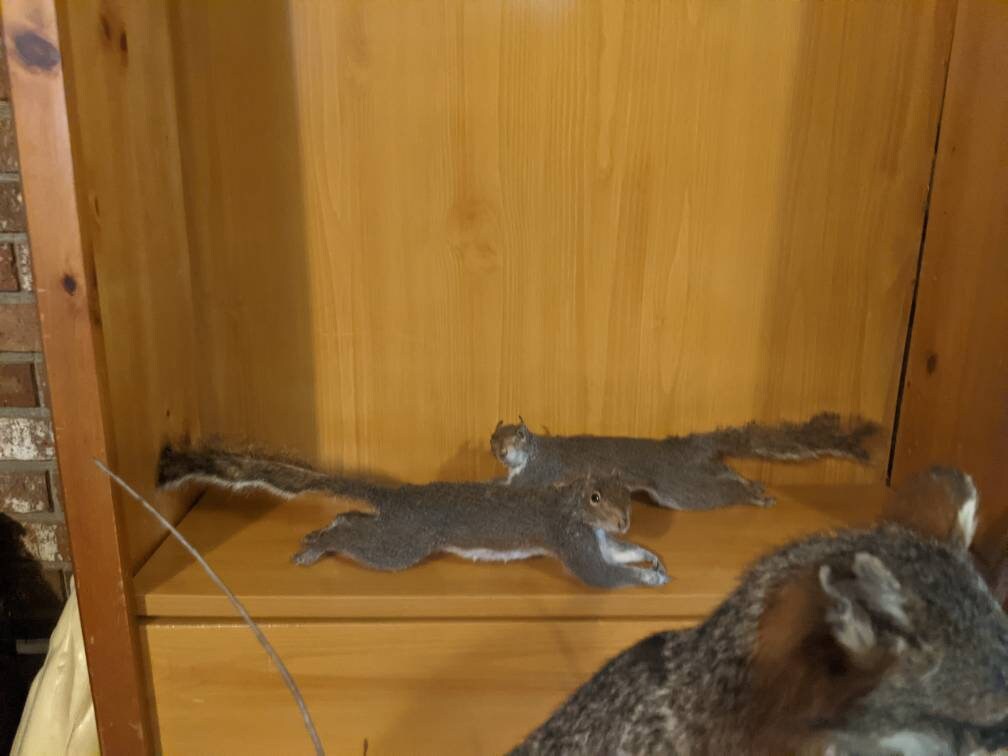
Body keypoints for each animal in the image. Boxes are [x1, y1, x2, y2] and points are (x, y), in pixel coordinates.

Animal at [156, 443, 669, 589]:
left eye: (629, 496)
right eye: (596, 497)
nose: (624, 521)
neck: (569, 507)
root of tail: (402, 497)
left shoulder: (599, 540)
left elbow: (620, 554)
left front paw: (651, 557)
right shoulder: (569, 537)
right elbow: (602, 576)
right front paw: (644, 579)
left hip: (393, 531)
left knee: (351, 519)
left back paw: (324, 531)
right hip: (403, 543)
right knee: (358, 538)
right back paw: (318, 544)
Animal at [491, 412, 880, 510]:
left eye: (518, 436)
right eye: (494, 439)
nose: (500, 451)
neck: (534, 453)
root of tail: (685, 447)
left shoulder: (538, 473)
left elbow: (513, 485)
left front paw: (492, 484)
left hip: (682, 488)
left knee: (723, 490)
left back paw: (754, 496)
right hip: (703, 470)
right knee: (728, 473)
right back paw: (753, 485)